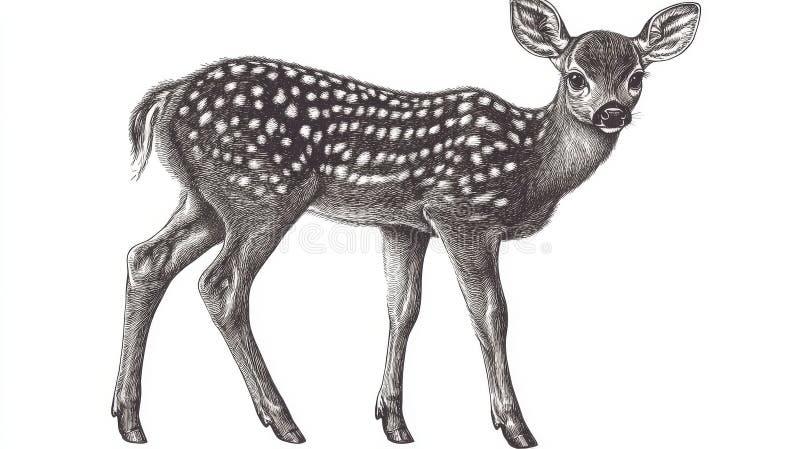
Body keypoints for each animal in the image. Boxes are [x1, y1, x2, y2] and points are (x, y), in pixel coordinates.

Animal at [111, 1, 700, 446]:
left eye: (636, 78)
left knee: (147, 258)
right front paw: (515, 427)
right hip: (263, 196)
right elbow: (490, 313)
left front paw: (394, 420)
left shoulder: (404, 224)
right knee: (221, 284)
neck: (530, 162)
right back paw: (283, 420)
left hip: (206, 200)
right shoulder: (461, 213)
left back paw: (130, 419)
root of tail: (168, 97)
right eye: (575, 77)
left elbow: (403, 308)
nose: (611, 113)